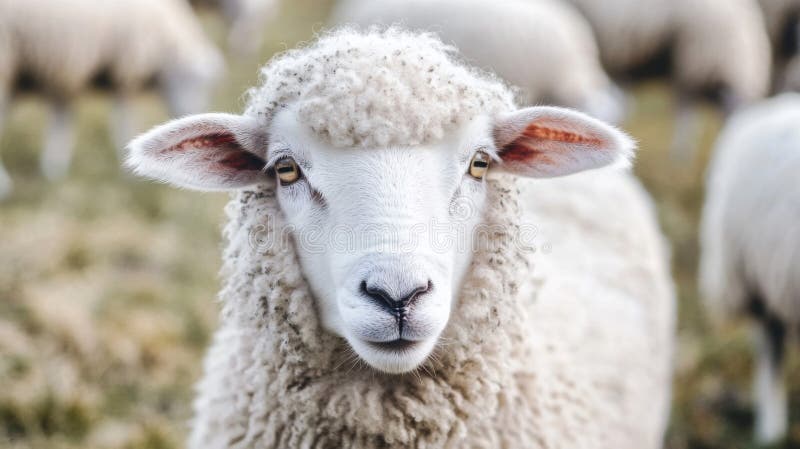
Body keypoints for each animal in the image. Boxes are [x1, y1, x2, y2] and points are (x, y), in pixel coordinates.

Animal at [0, 0, 224, 198]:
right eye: (195, 82)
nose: (190, 115)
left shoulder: (68, 72)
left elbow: (63, 119)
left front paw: (53, 169)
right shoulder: (124, 72)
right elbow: (123, 123)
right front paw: (130, 171)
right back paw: (5, 186)